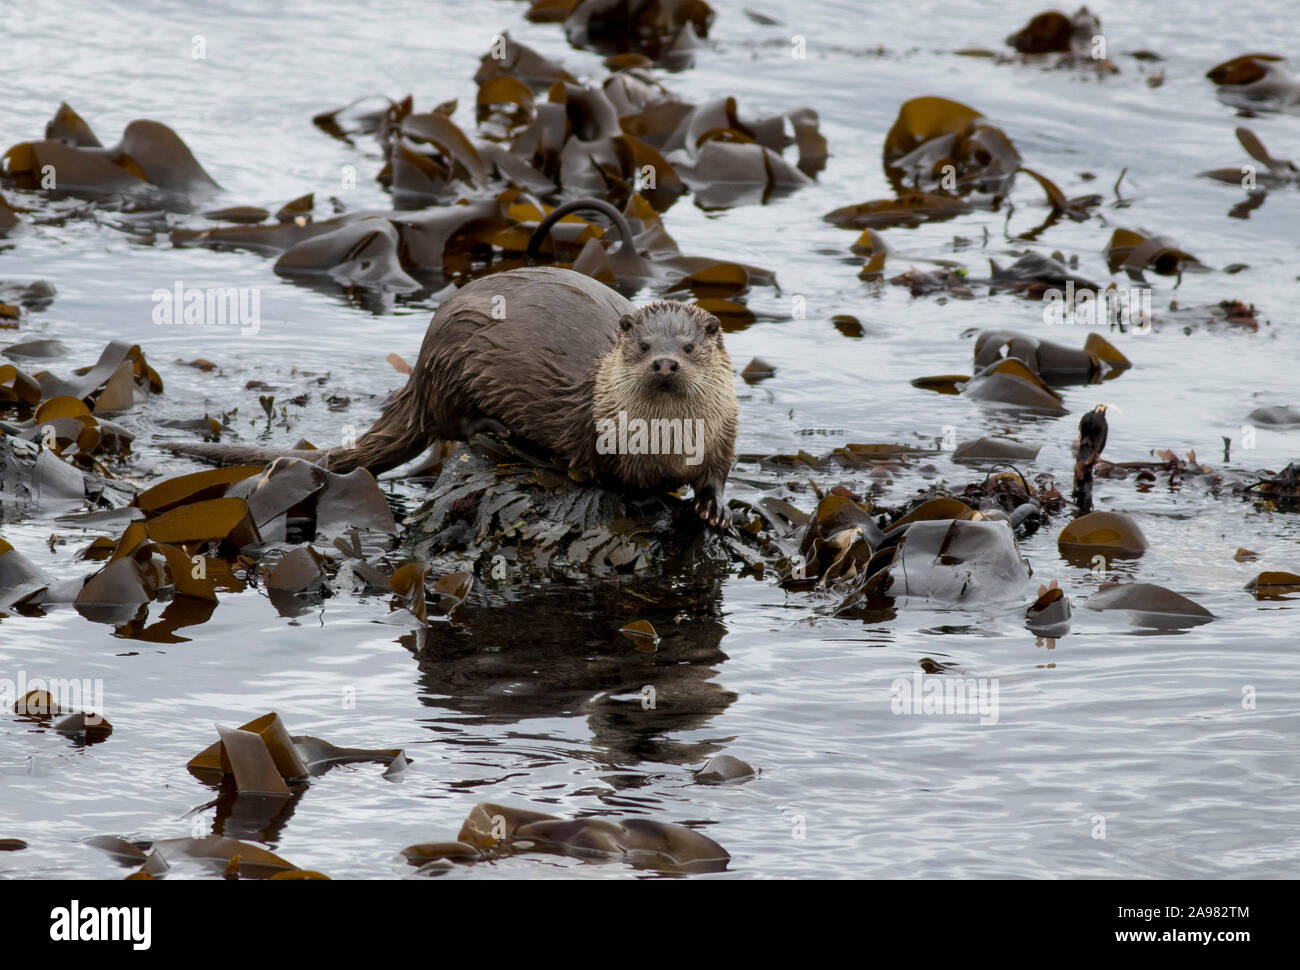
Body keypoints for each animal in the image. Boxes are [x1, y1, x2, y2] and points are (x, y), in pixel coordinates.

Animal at [170, 265, 739, 527]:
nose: (664, 361)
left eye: (688, 346)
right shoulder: (594, 435)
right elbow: (608, 476)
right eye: (643, 346)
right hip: (455, 362)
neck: (665, 444)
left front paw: (713, 508)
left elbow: (716, 473)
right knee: (452, 424)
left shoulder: (724, 433)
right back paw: (498, 433)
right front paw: (651, 497)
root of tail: (421, 365)